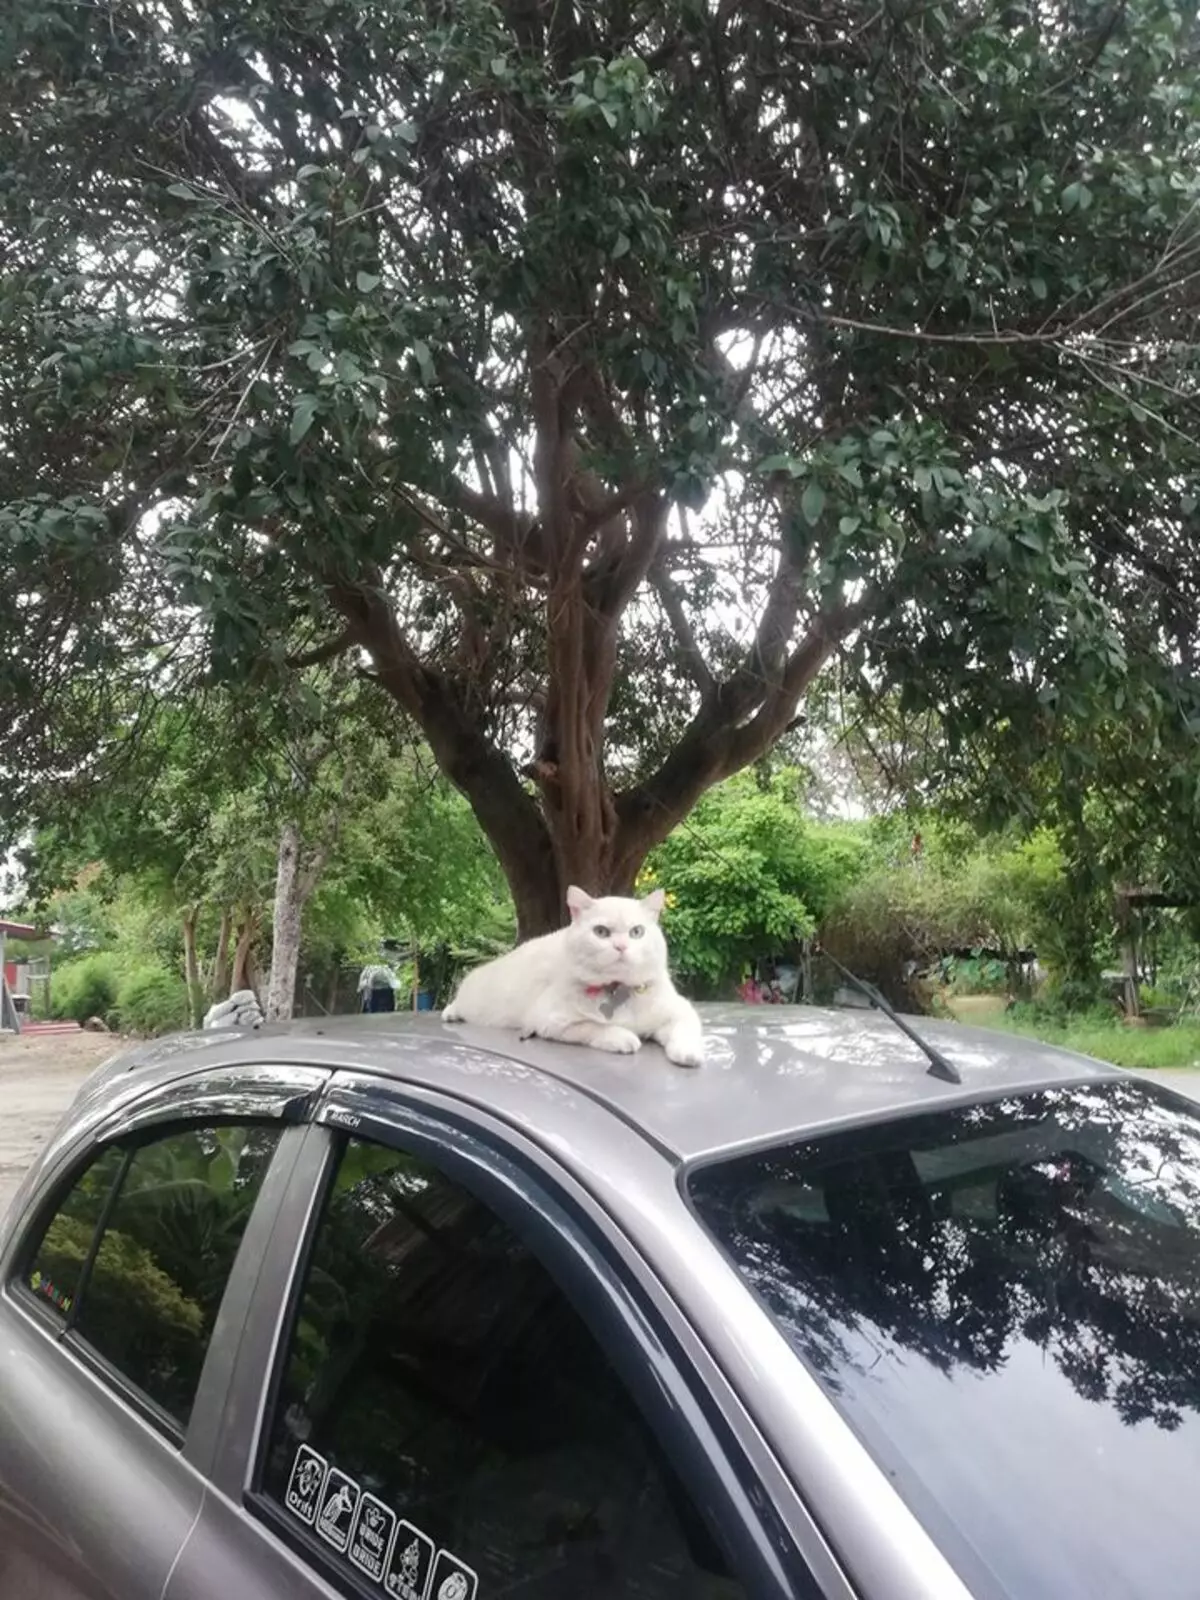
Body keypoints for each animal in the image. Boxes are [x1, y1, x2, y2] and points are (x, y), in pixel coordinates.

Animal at [441, 883, 704, 1068]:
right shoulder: (551, 1022)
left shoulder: (680, 1010)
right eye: (601, 932)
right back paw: (450, 1013)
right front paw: (623, 1037)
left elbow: (685, 1030)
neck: (619, 992)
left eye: (637, 932)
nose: (621, 947)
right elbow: (594, 1027)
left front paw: (689, 1053)